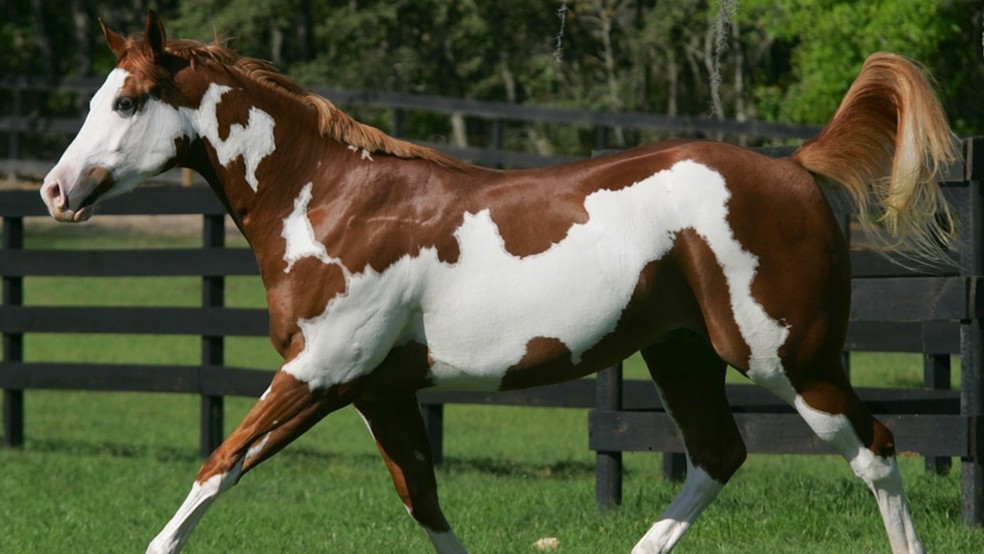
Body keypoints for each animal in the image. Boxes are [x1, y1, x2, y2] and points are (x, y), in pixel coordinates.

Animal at [40, 11, 957, 554]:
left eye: (127, 103)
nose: (53, 191)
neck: (331, 202)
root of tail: (797, 167)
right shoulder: (380, 391)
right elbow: (424, 503)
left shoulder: (319, 374)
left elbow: (216, 469)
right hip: (683, 355)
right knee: (717, 455)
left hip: (791, 360)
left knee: (876, 452)